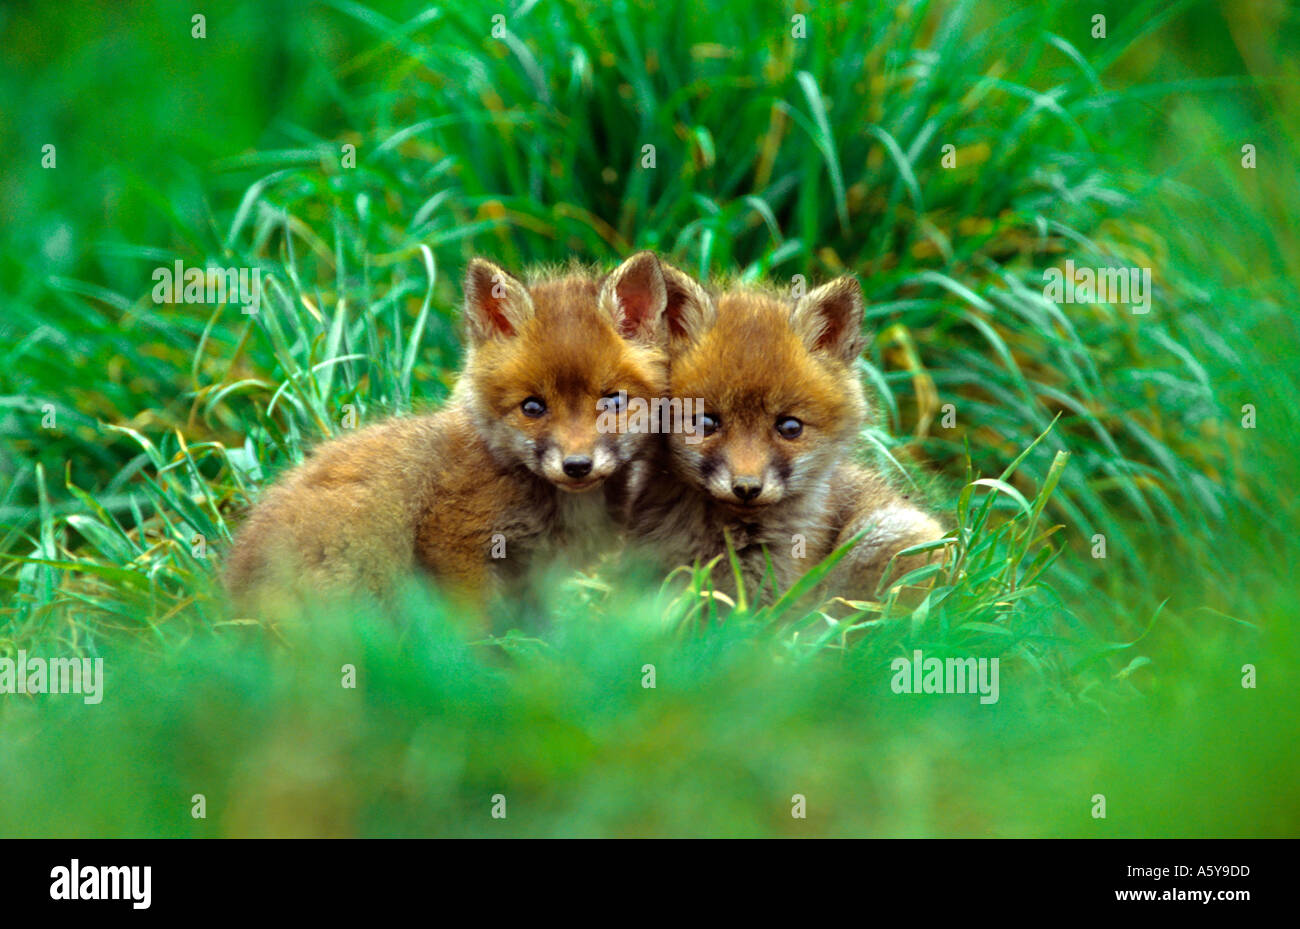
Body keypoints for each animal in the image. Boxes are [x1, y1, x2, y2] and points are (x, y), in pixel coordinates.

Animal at [224, 251, 676, 624]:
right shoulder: (456, 542)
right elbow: (472, 633)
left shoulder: (531, 577)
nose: (577, 466)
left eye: (612, 401)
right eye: (532, 407)